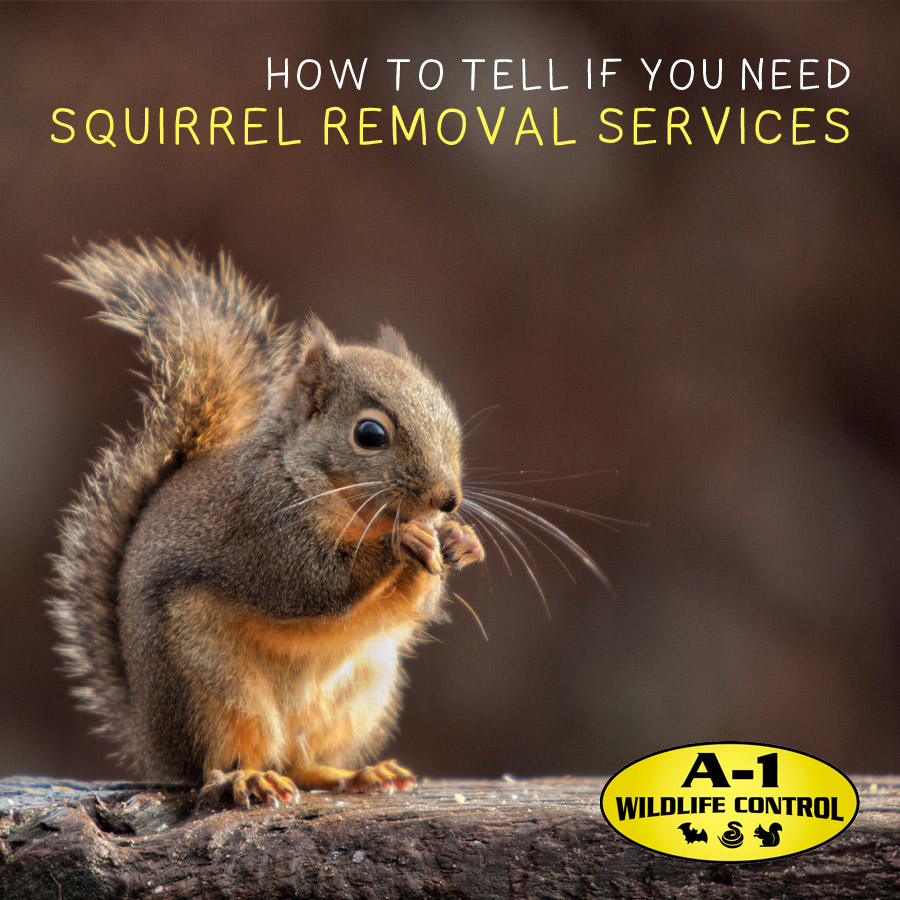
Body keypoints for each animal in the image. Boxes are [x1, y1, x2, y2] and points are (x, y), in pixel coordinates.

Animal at [48, 239, 485, 806]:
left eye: (448, 419)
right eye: (369, 434)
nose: (447, 500)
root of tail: (150, 741)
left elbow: (408, 608)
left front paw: (458, 541)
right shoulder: (262, 526)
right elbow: (314, 582)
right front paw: (401, 542)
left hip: (361, 694)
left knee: (302, 762)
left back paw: (356, 774)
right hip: (209, 687)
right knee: (216, 765)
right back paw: (246, 778)